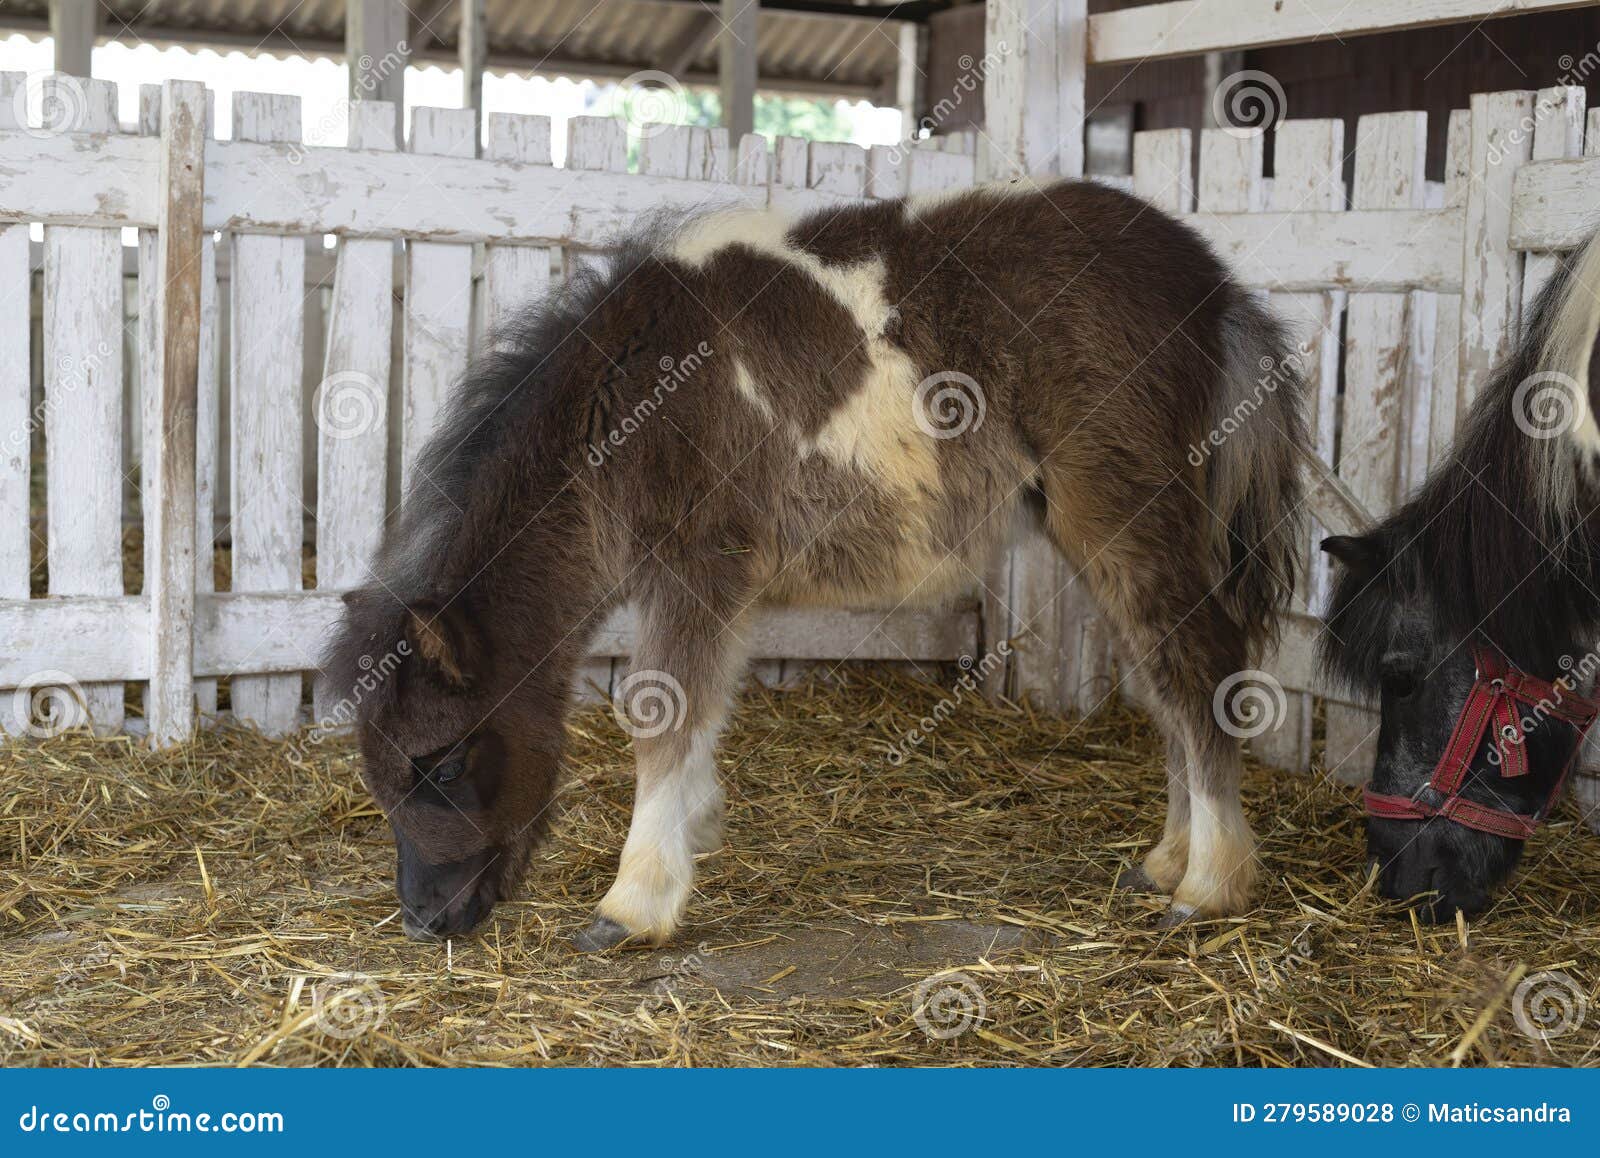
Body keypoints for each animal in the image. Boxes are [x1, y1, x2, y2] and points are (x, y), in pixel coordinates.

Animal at [326, 178, 1308, 949]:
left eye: (443, 762)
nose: (426, 920)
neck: (629, 400)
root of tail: (1217, 286)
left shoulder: (697, 563)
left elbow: (661, 713)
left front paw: (633, 903)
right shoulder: (713, 583)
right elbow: (703, 709)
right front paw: (695, 834)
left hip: (1124, 506)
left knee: (1196, 663)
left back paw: (1211, 885)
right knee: (1161, 674)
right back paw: (1169, 859)